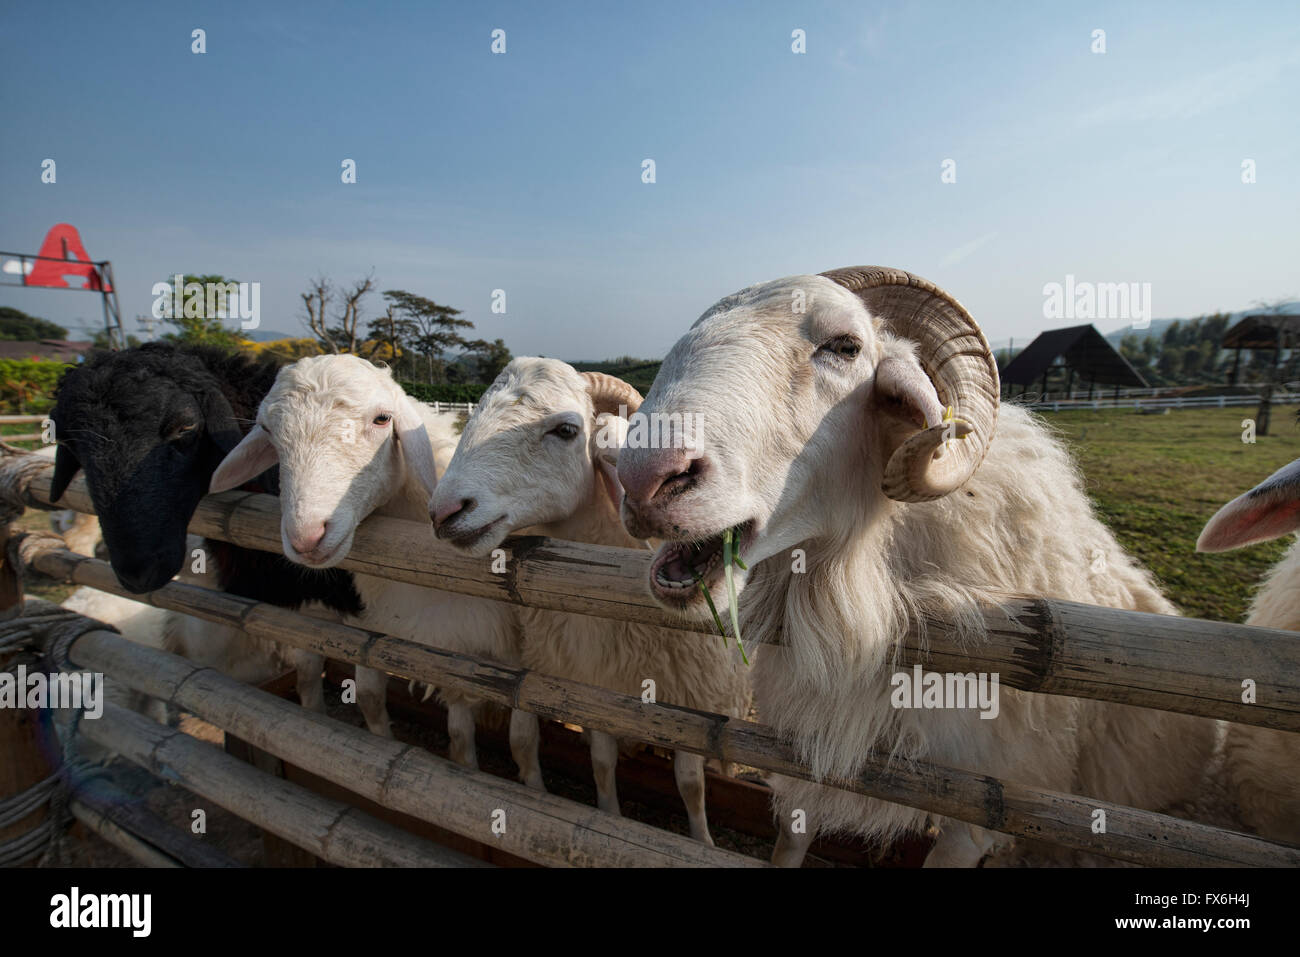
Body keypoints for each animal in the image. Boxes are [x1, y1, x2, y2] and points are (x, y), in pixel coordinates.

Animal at [209, 354, 544, 786]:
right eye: (267, 430)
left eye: (383, 419)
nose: (306, 536)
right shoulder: (432, 644)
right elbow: (431, 725)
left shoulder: (517, 655)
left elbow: (522, 740)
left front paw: (534, 790)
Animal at [430, 358, 750, 844]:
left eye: (565, 430)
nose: (443, 512)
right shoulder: (597, 685)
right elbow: (602, 763)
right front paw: (608, 817)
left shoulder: (689, 696)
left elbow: (691, 784)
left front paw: (703, 840)